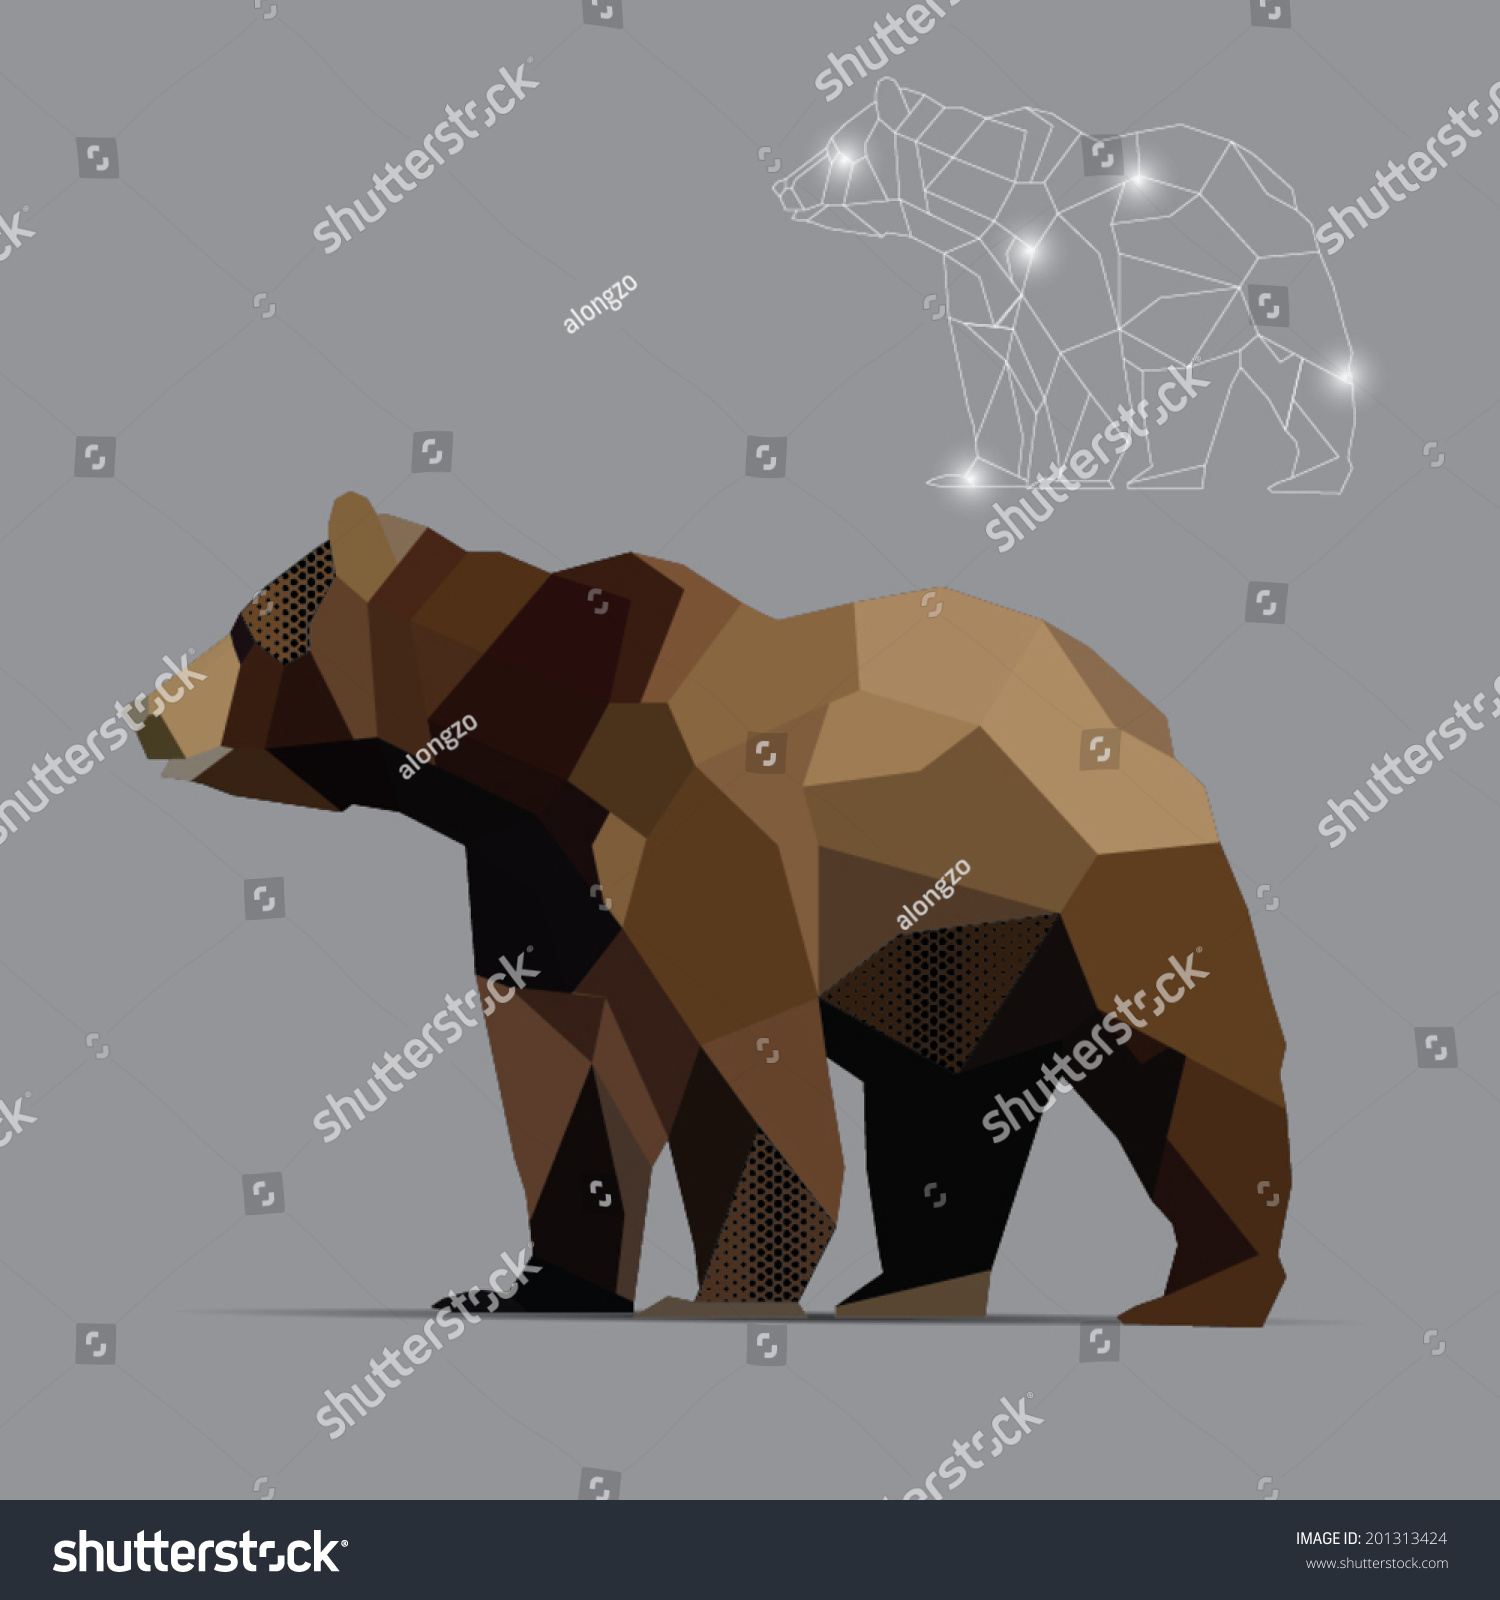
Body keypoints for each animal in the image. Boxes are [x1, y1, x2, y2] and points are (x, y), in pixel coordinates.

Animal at [137, 491, 1290, 1325]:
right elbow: (563, 1059)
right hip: (958, 962)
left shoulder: (703, 833)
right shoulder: (533, 877)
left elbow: (746, 1053)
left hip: (1109, 897)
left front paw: (721, 1290)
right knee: (944, 1105)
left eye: (245, 631)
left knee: (1196, 1064)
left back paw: (1209, 1289)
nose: (148, 713)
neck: (530, 754)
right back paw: (907, 1292)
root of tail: (1141, 713)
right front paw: (526, 1285)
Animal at [775, 77, 1354, 494]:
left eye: (839, 150)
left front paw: (1083, 469)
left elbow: (1081, 357)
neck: (970, 217)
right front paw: (978, 472)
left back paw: (1321, 474)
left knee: (1314, 359)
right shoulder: (975, 277)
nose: (784, 187)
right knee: (1243, 373)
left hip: (1269, 273)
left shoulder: (1063, 261)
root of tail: (1277, 181)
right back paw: (1193, 474)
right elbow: (988, 365)